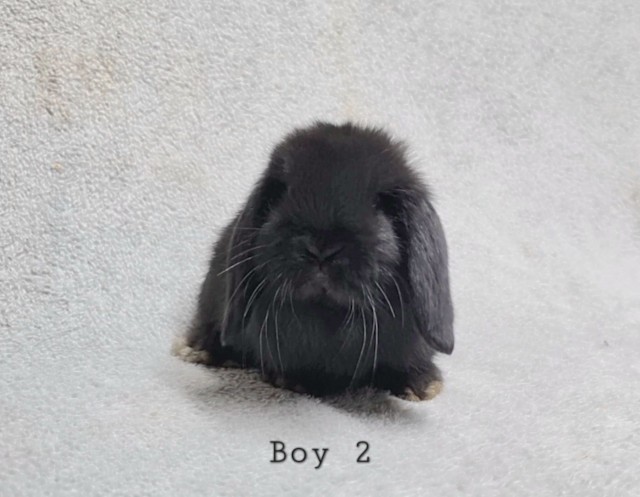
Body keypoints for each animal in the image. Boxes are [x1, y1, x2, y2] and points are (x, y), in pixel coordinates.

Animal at [173, 122, 454, 401]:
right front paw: (294, 381)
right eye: (283, 193)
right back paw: (197, 349)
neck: (329, 313)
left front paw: (423, 386)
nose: (321, 248)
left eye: (380, 203)